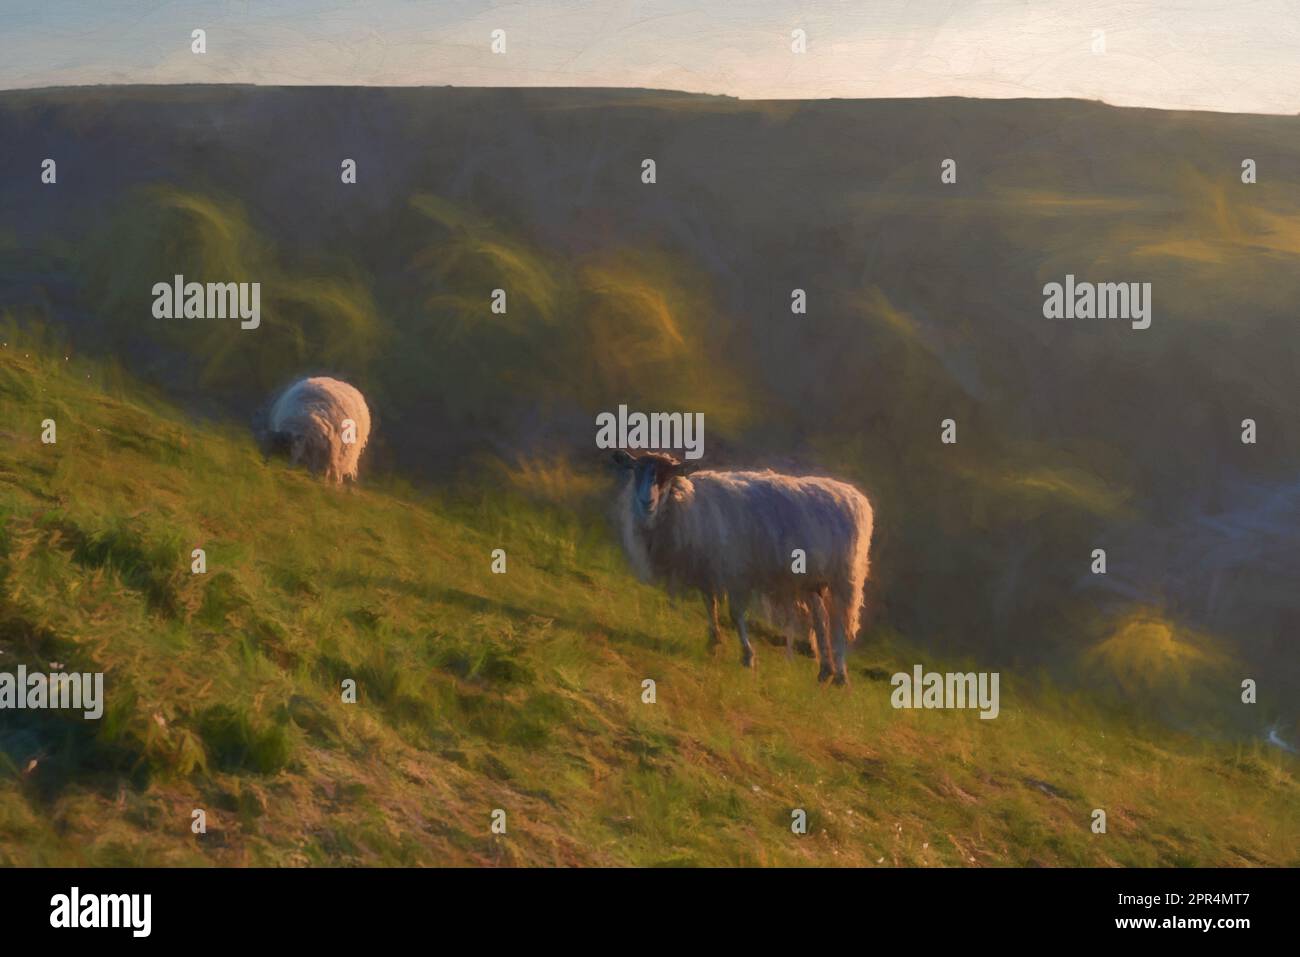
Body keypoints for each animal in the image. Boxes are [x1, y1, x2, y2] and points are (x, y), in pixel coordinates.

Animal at [611, 450, 873, 684]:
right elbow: (710, 604)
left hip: (845, 577)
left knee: (839, 624)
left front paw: (747, 656)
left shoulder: (736, 571)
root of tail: (854, 494)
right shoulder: (708, 570)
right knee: (821, 621)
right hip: (812, 581)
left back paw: (840, 676)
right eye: (636, 471)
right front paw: (714, 641)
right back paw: (825, 672)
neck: (691, 507)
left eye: (666, 476)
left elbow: (735, 613)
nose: (646, 502)